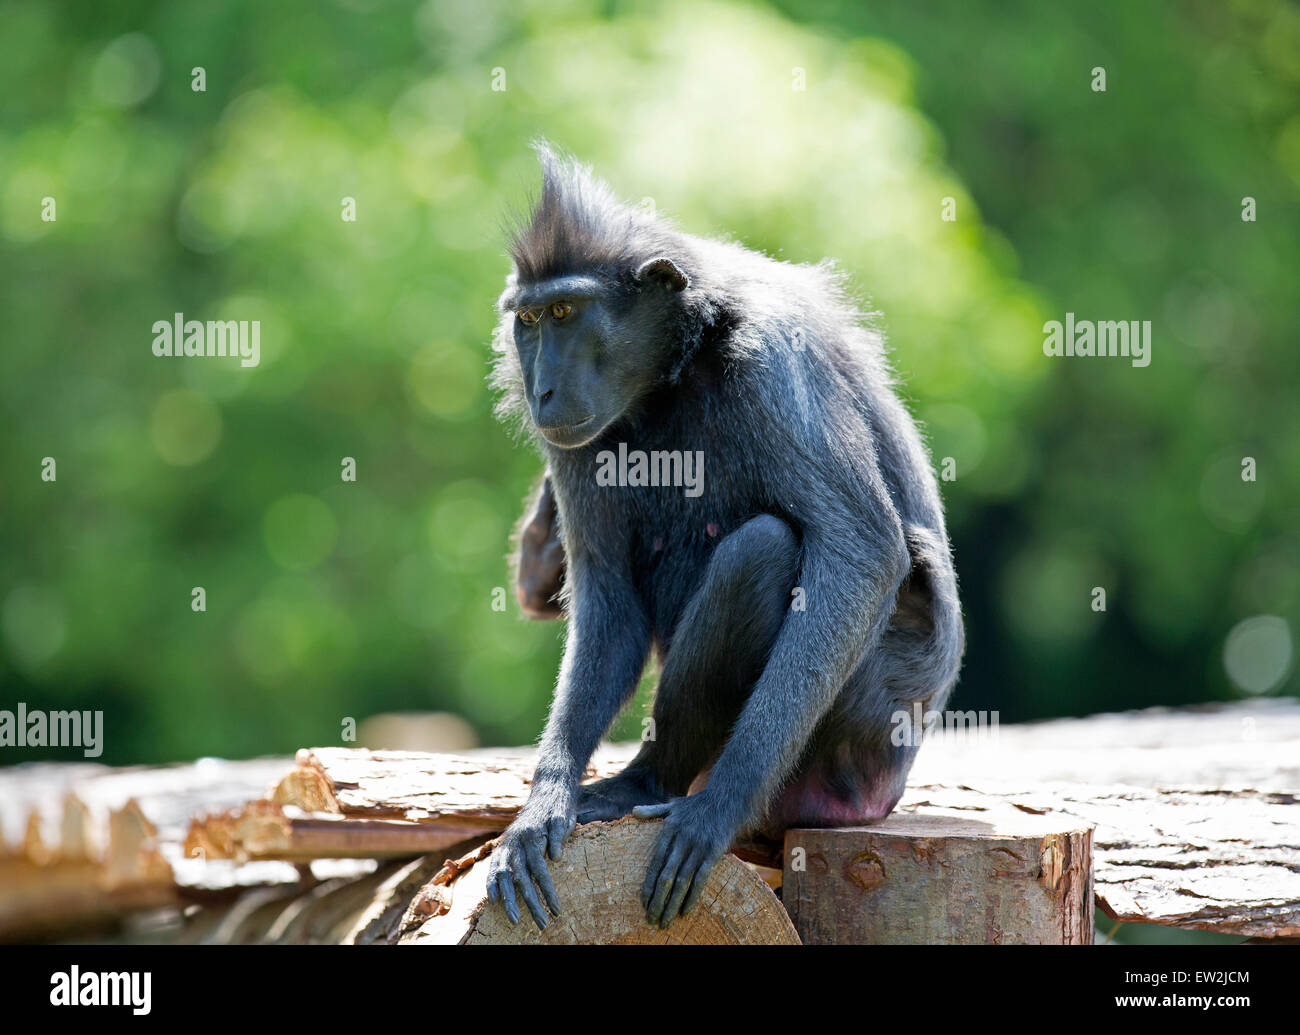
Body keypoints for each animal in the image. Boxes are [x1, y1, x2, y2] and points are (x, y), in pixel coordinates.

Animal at [485, 143, 964, 930]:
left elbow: (862, 553)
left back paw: (660, 784)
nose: (541, 389)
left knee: (762, 550)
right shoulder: (574, 441)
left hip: (856, 740)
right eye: (529, 320)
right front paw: (542, 803)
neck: (674, 372)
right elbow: (608, 596)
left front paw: (715, 812)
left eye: (565, 312)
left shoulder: (774, 360)